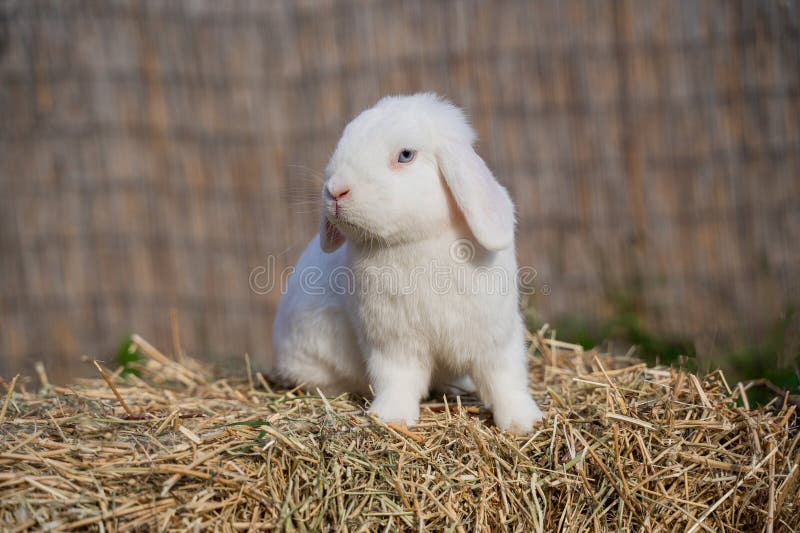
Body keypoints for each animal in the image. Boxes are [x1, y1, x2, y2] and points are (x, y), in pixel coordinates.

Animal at [272, 93, 543, 434]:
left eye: (405, 155)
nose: (335, 191)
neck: (418, 241)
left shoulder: (495, 336)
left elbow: (505, 380)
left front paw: (523, 423)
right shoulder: (391, 342)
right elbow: (397, 379)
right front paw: (391, 418)